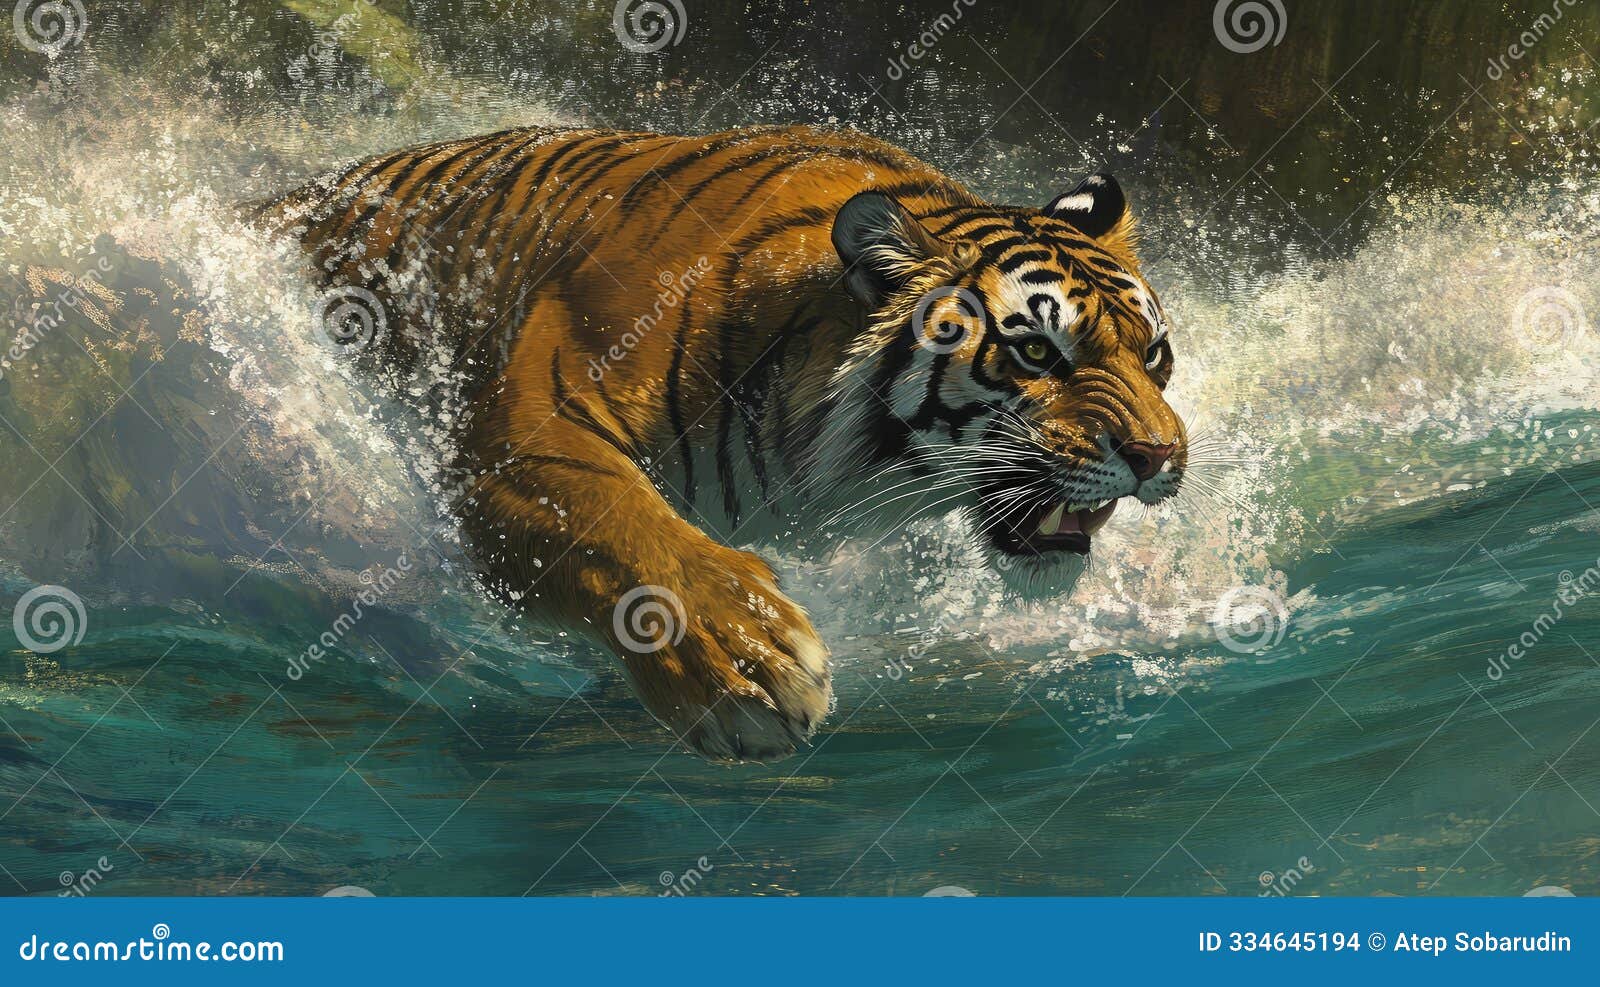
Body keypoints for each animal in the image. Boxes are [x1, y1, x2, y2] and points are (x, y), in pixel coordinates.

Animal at [260, 124, 1188, 762]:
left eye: (1154, 353)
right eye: (1036, 352)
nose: (1160, 459)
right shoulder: (525, 436)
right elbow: (624, 528)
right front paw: (749, 665)